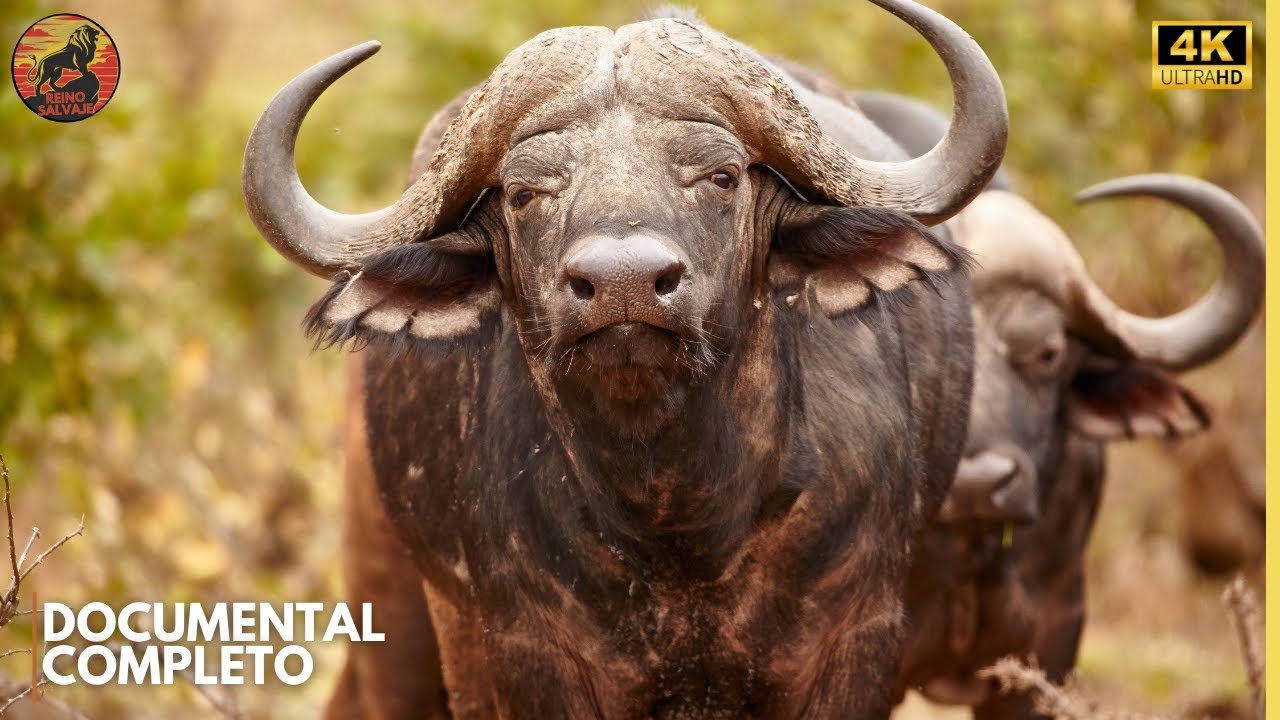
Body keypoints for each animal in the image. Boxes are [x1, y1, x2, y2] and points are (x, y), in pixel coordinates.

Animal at [243, 3, 1008, 718]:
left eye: (722, 176)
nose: (625, 284)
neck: (678, 518)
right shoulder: (532, 653)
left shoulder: (857, 639)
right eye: (525, 193)